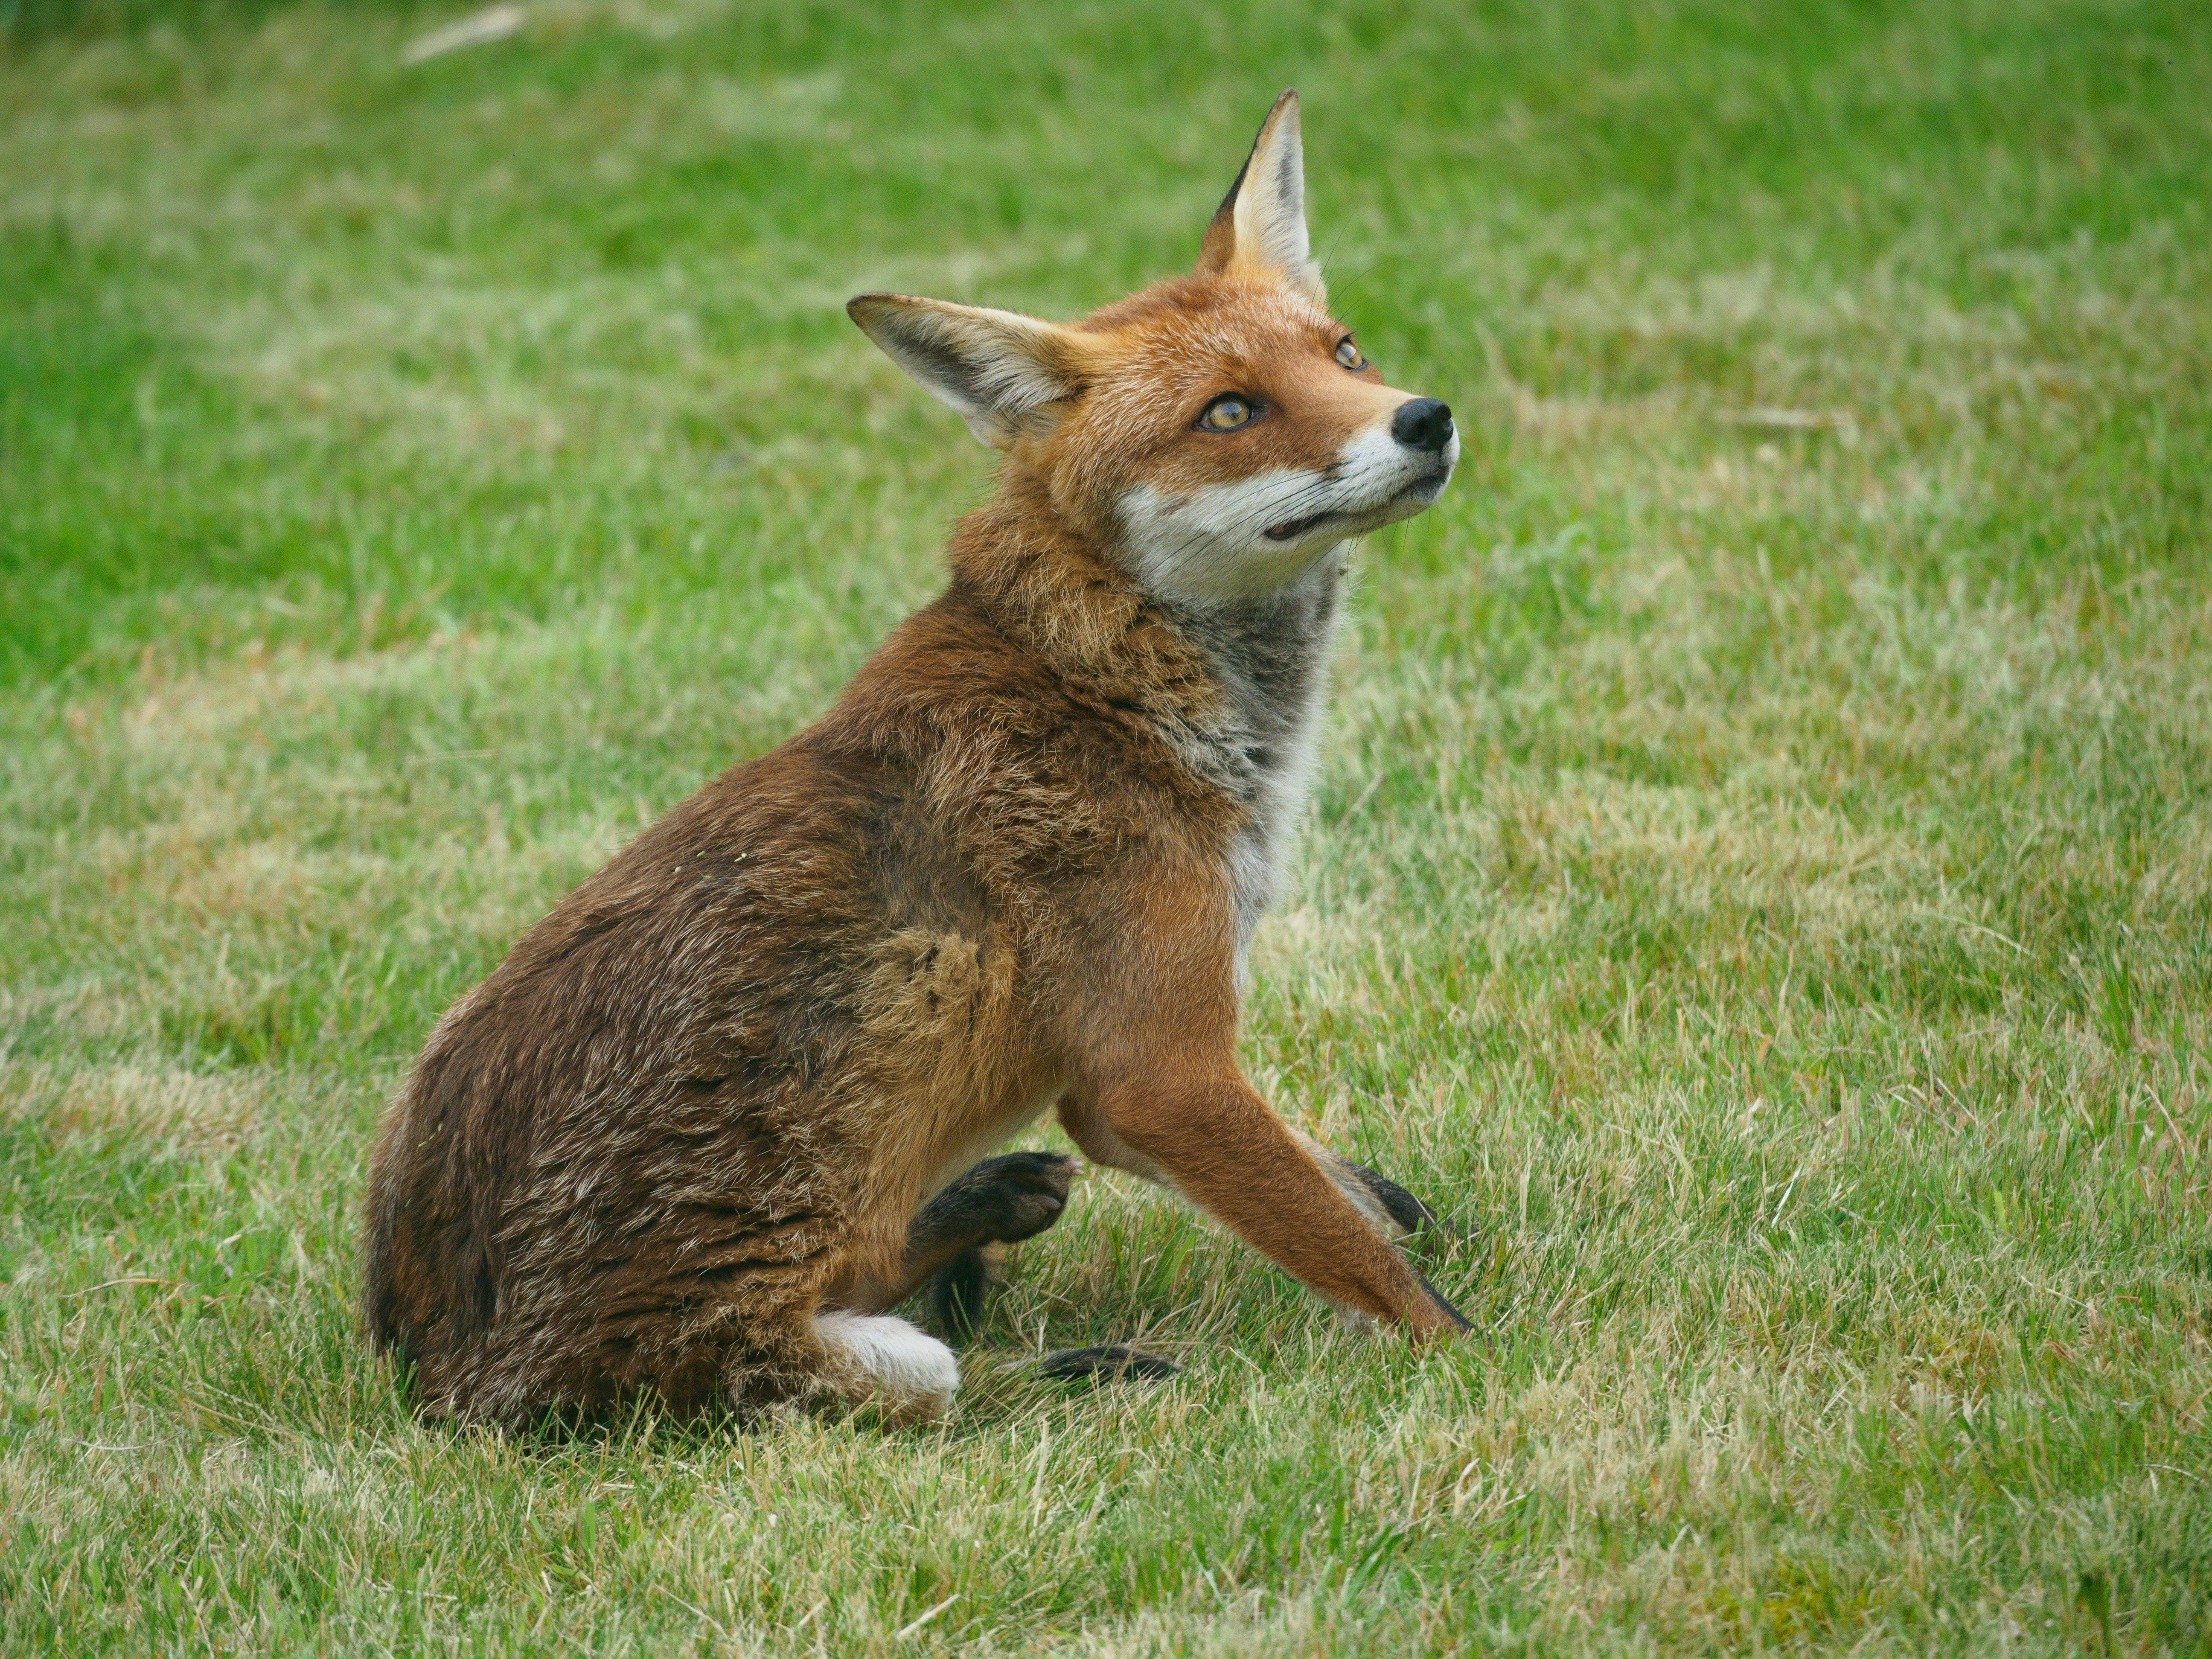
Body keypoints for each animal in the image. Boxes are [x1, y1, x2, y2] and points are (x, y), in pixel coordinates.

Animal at [360, 89, 1468, 1430]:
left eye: (1343, 354)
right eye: (1230, 412)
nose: (1424, 417)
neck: (1101, 681)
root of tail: (426, 1375)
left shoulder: (1154, 1081)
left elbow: (1344, 1194)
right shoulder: (1153, 1073)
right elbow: (1372, 1266)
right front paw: (1486, 1364)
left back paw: (991, 1214)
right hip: (798, 1353)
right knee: (926, 1379)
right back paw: (1075, 1362)